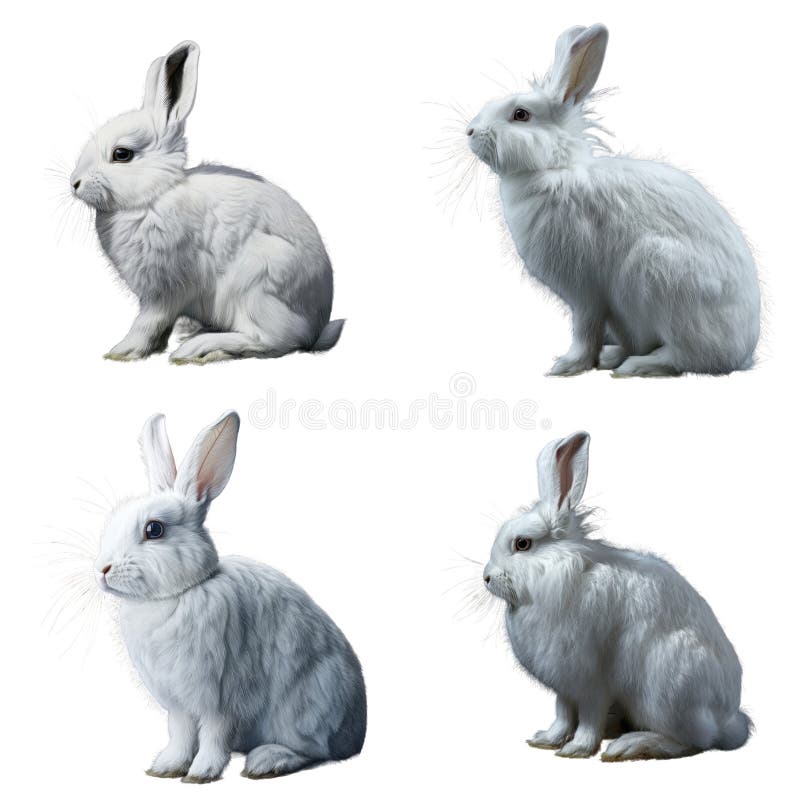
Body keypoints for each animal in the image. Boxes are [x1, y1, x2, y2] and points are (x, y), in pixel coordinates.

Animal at [70, 41, 344, 364]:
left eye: (121, 154)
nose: (74, 183)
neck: (155, 194)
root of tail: (316, 328)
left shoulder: (167, 287)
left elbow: (148, 321)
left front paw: (123, 351)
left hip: (258, 282)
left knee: (272, 341)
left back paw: (199, 349)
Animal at [93, 411, 367, 782]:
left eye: (154, 529)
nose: (102, 569)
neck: (179, 593)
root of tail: (356, 736)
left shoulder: (220, 696)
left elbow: (213, 733)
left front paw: (201, 773)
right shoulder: (178, 703)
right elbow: (180, 734)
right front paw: (165, 768)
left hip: (305, 707)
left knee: (313, 751)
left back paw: (267, 761)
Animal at [466, 24, 760, 377]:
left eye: (520, 114)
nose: (469, 131)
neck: (556, 168)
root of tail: (743, 353)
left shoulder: (585, 292)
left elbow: (584, 330)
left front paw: (566, 366)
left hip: (659, 274)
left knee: (685, 356)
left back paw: (634, 366)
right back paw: (614, 357)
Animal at [482, 431, 751, 761]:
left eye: (522, 543)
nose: (486, 577)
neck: (563, 569)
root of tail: (728, 721)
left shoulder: (590, 678)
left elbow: (588, 715)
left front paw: (577, 748)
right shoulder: (565, 684)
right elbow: (562, 712)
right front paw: (547, 739)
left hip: (665, 689)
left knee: (689, 741)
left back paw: (630, 745)